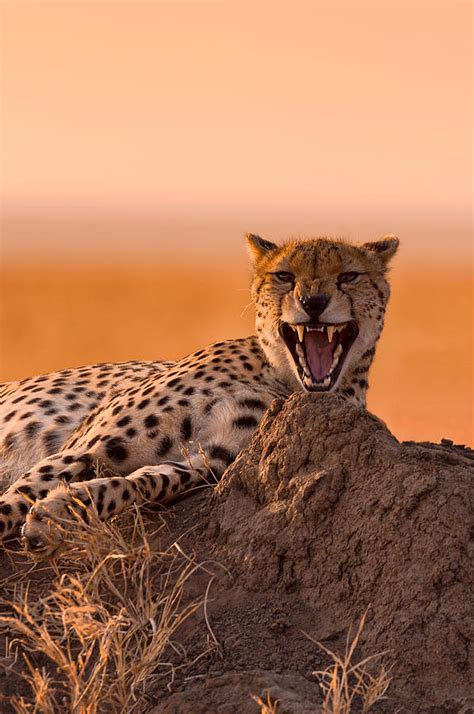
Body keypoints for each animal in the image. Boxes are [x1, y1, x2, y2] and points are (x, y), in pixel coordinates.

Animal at [0, 233, 399, 557]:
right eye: (284, 276)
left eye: (349, 276)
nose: (314, 302)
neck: (281, 379)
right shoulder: (84, 446)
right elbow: (19, 495)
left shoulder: (216, 460)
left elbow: (144, 482)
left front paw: (60, 512)